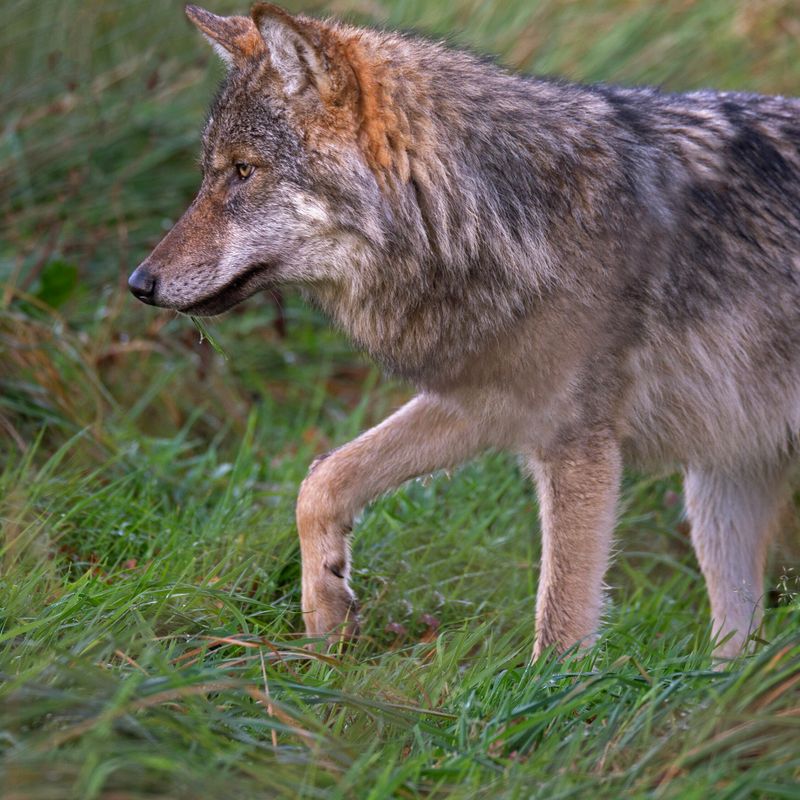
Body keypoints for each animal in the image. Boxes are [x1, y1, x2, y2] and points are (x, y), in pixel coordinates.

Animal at [128, 3, 800, 660]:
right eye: (211, 173)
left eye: (244, 171)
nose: (138, 282)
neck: (494, 217)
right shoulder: (480, 400)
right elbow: (321, 481)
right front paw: (326, 617)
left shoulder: (578, 445)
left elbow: (560, 625)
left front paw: (546, 697)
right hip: (721, 484)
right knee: (737, 648)